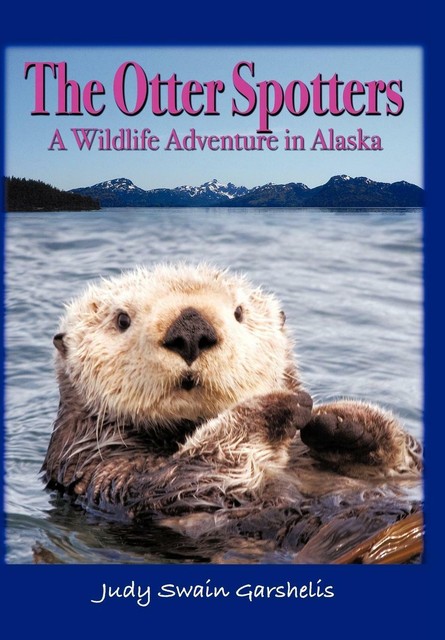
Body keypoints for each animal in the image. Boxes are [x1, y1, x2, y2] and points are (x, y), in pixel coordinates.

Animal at [42, 263, 422, 562]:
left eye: (240, 313)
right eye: (121, 319)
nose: (190, 329)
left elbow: (408, 457)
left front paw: (338, 422)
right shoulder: (112, 474)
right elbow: (189, 475)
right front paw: (279, 407)